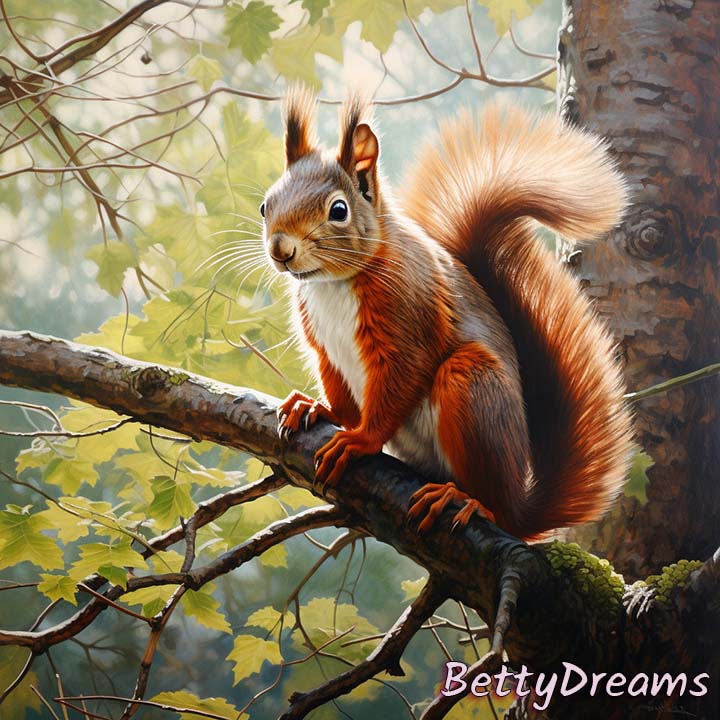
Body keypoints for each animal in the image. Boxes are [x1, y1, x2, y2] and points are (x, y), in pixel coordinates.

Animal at [261, 86, 633, 540]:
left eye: (338, 210)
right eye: (265, 206)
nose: (281, 250)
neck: (332, 284)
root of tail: (521, 507)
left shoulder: (407, 316)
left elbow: (400, 378)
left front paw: (361, 440)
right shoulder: (324, 347)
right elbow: (339, 392)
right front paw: (317, 409)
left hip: (473, 390)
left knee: (493, 502)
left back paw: (464, 499)